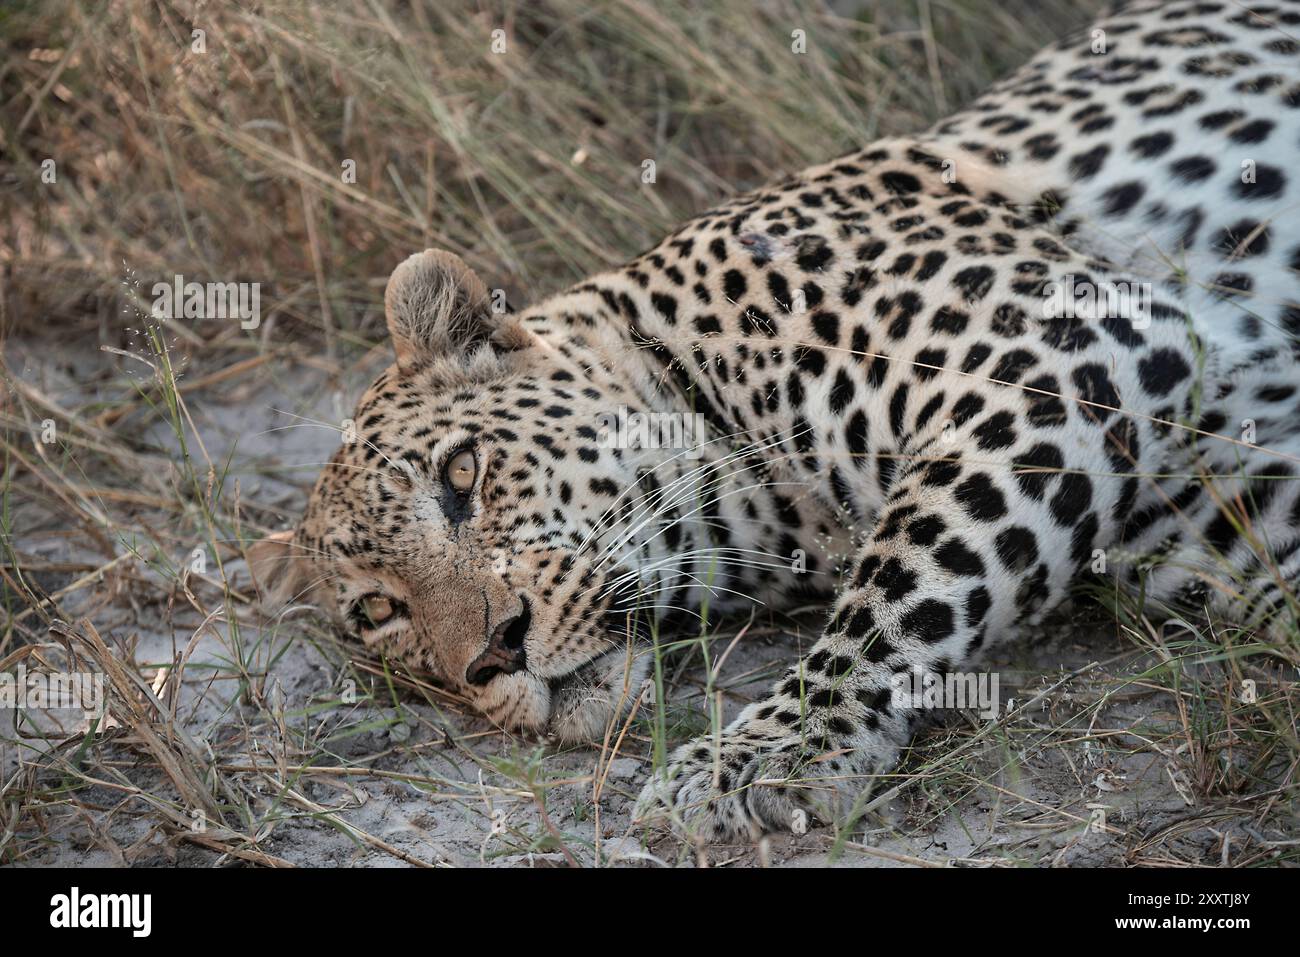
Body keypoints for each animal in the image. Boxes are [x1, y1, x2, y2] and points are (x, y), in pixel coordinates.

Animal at [252, 0, 1300, 843]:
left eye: (461, 477)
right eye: (380, 611)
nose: (493, 651)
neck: (771, 515)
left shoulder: (1058, 347)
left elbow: (904, 576)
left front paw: (771, 753)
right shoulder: (1222, 499)